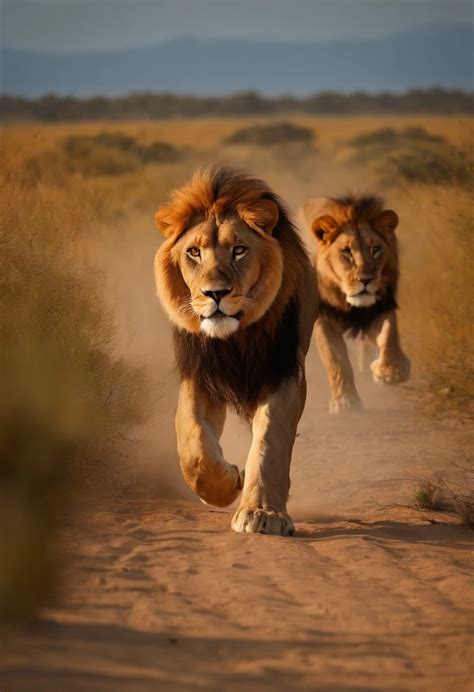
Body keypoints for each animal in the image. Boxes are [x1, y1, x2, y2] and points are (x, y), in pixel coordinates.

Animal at [154, 165, 317, 535]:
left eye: (239, 250)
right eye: (194, 252)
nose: (215, 293)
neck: (235, 338)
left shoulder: (283, 370)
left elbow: (270, 440)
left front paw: (263, 513)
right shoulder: (199, 375)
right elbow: (193, 442)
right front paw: (227, 481)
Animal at [303, 194, 410, 413]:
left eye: (375, 249)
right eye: (346, 251)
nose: (366, 280)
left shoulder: (381, 306)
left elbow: (389, 334)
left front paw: (392, 371)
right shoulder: (324, 318)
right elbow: (336, 359)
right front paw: (344, 401)